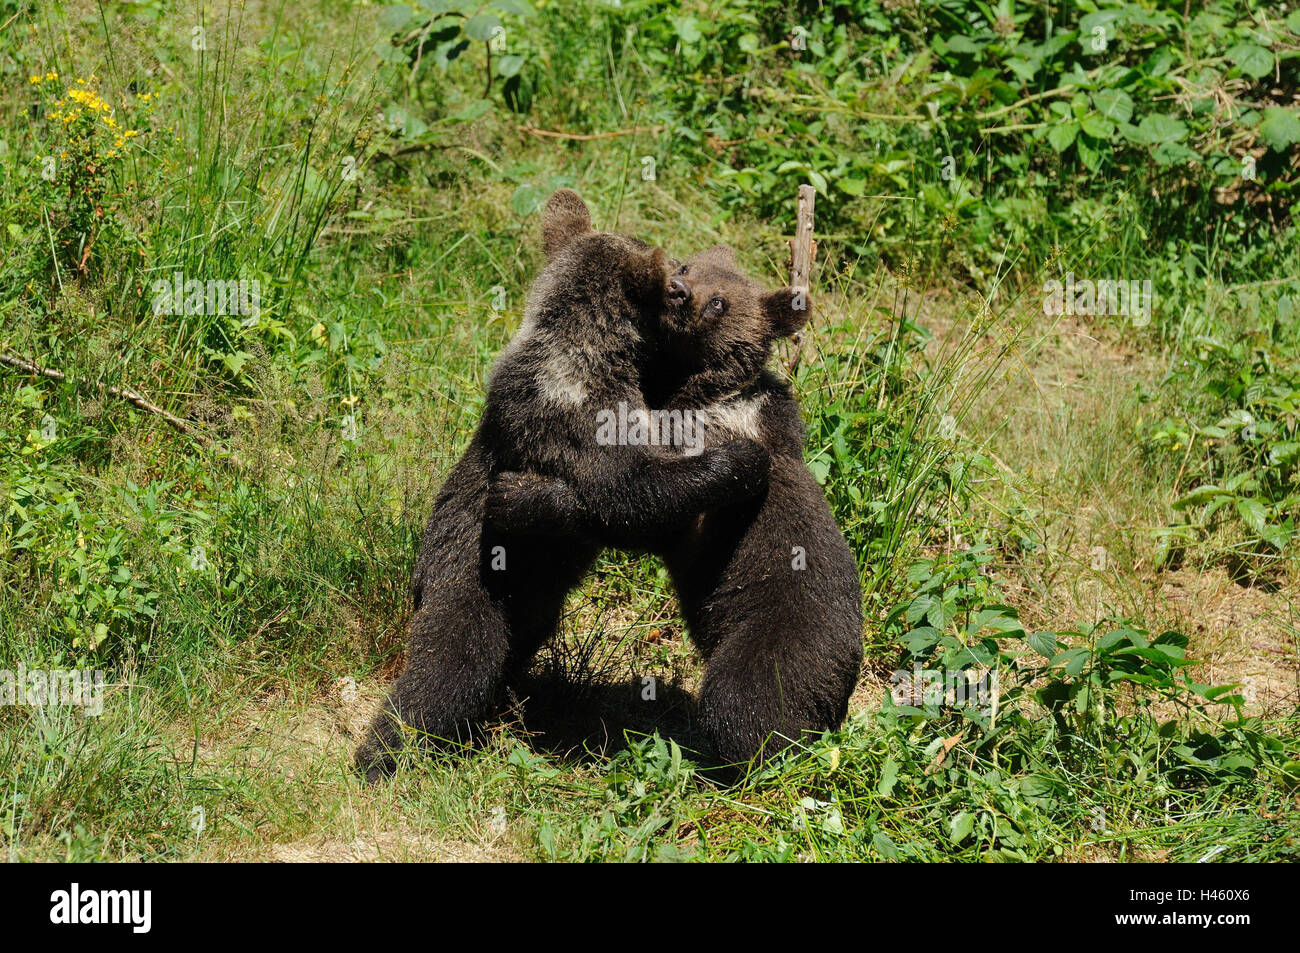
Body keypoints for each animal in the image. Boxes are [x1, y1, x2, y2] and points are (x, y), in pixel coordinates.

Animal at [354, 193, 772, 780]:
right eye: (676, 273)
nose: (682, 282)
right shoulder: (587, 427)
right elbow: (637, 500)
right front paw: (738, 459)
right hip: (472, 585)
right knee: (450, 667)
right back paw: (386, 752)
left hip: (527, 603)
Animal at [488, 244, 863, 767]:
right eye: (687, 267)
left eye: (720, 301)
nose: (680, 291)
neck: (687, 390)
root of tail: (844, 692)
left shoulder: (701, 463)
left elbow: (640, 505)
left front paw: (518, 494)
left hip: (776, 639)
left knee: (744, 703)